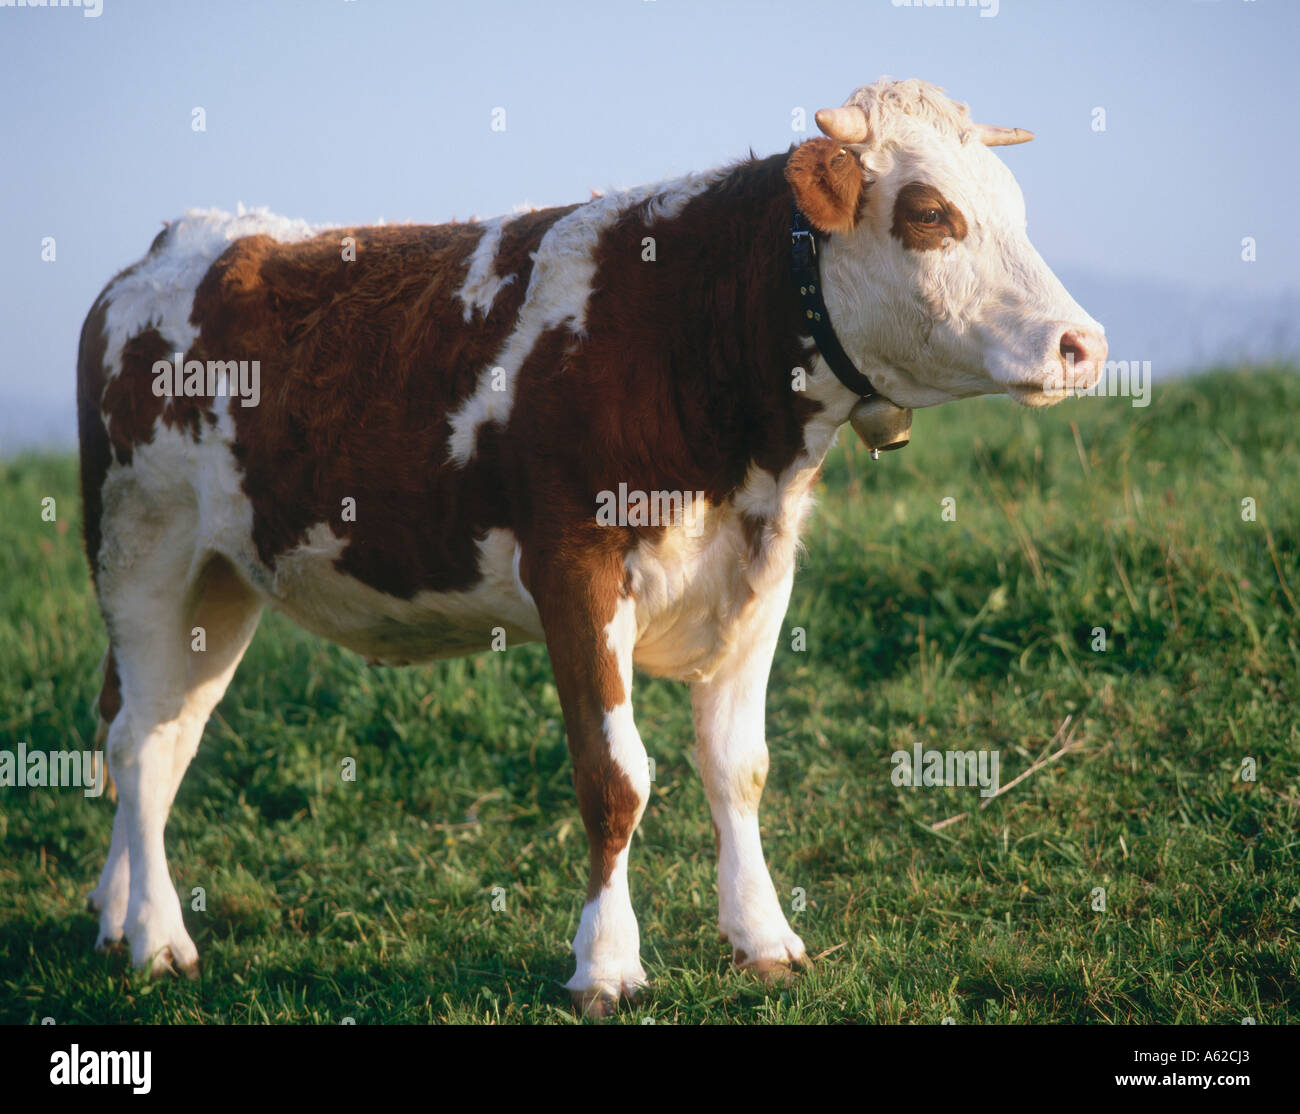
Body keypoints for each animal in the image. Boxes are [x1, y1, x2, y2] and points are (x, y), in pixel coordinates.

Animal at [77, 78, 1106, 1017]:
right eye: (930, 214)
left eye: (1013, 206)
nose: (1083, 343)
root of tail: (177, 243)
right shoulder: (575, 565)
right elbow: (616, 779)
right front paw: (606, 966)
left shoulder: (762, 569)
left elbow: (740, 766)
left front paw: (764, 938)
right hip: (141, 549)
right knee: (139, 745)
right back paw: (159, 940)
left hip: (221, 582)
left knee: (156, 731)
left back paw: (115, 914)